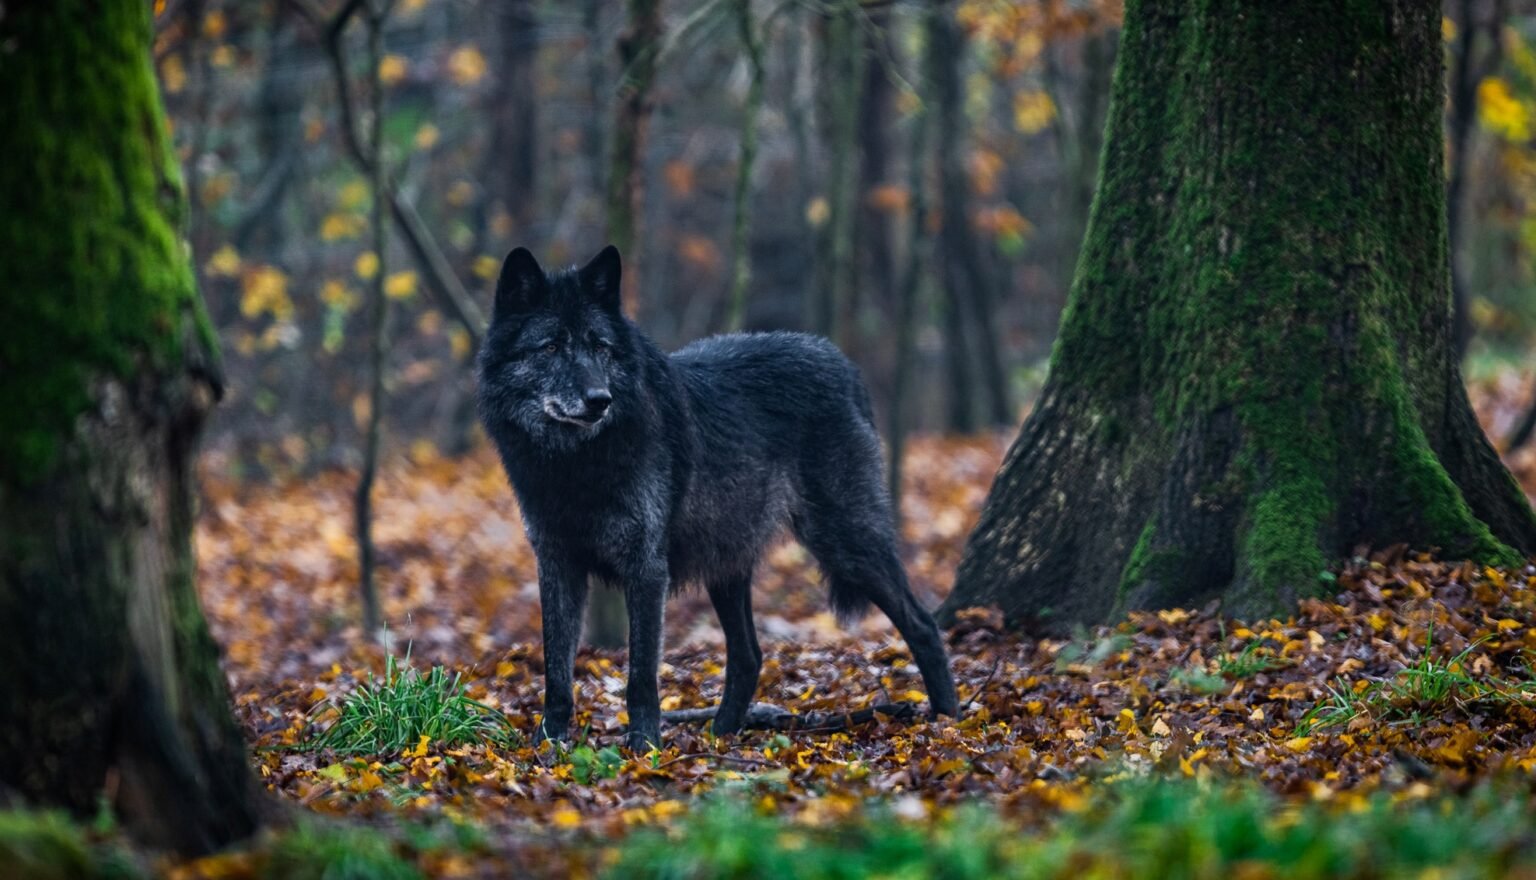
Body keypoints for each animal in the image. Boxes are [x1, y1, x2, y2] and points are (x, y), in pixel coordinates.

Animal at [476, 245, 960, 750]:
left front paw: (644, 747)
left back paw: (948, 721)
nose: (599, 399)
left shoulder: (647, 569)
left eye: (600, 347)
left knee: (923, 623)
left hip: (846, 543)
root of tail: (842, 364)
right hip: (727, 564)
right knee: (749, 655)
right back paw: (718, 736)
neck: (574, 467)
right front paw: (547, 743)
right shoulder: (556, 564)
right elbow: (556, 669)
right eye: (551, 347)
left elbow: (641, 675)